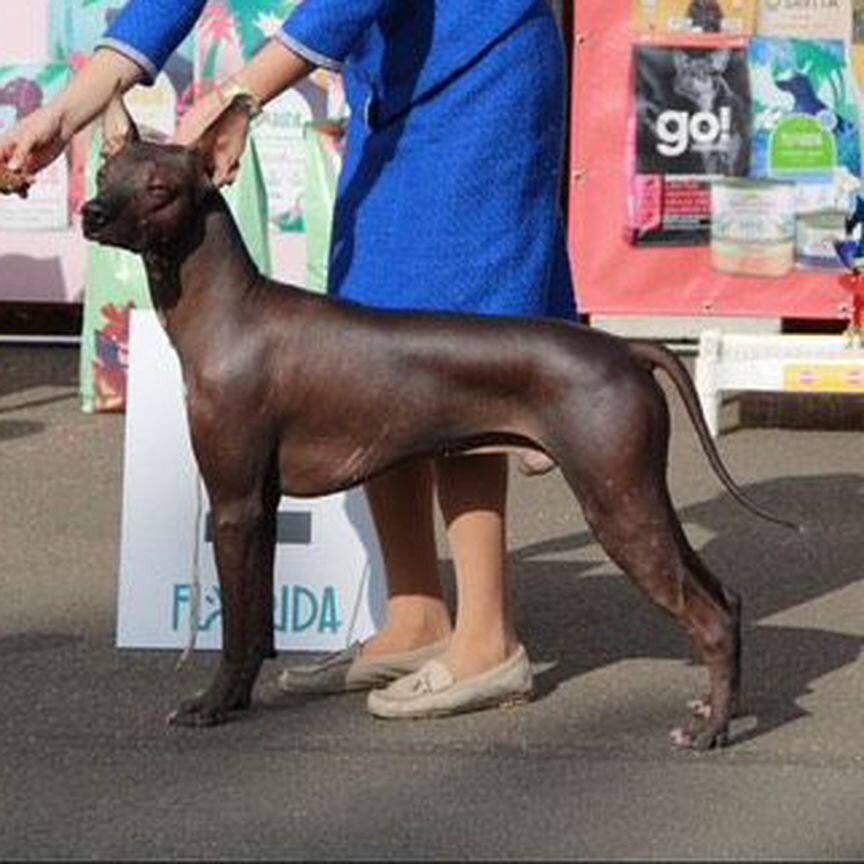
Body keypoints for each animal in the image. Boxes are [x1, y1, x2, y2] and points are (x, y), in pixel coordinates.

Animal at [81, 98, 796, 748]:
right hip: (641, 496)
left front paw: (211, 705)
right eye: (104, 173)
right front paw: (238, 695)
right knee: (725, 599)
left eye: (159, 189)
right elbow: (256, 621)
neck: (231, 312)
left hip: (617, 505)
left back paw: (712, 730)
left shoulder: (231, 504)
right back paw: (714, 707)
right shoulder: (260, 503)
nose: (91, 213)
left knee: (709, 617)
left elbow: (233, 625)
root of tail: (626, 347)